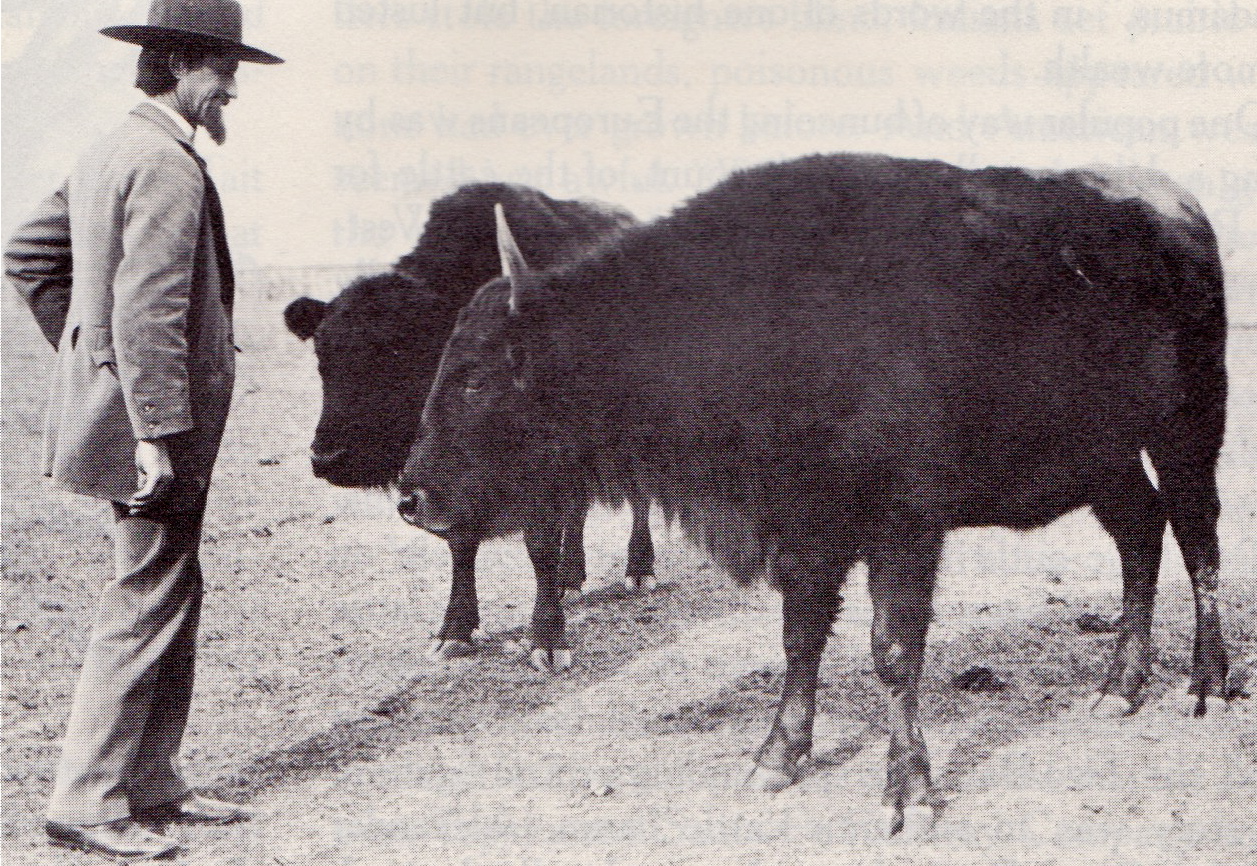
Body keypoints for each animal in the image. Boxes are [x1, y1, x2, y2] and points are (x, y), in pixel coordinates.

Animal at [285, 183, 655, 670]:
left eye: (394, 349)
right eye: (321, 354)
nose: (327, 458)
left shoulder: (537, 471)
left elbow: (538, 543)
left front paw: (547, 641)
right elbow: (461, 543)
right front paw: (455, 632)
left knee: (638, 496)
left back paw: (639, 572)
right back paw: (571, 578)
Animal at [397, 154, 1231, 835]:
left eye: (475, 378)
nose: (411, 496)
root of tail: (1177, 207)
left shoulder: (902, 527)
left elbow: (892, 653)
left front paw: (908, 799)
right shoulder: (803, 530)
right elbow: (800, 639)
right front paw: (774, 759)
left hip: (1187, 432)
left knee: (1198, 540)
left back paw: (1207, 685)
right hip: (1103, 458)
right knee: (1140, 531)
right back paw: (1118, 688)